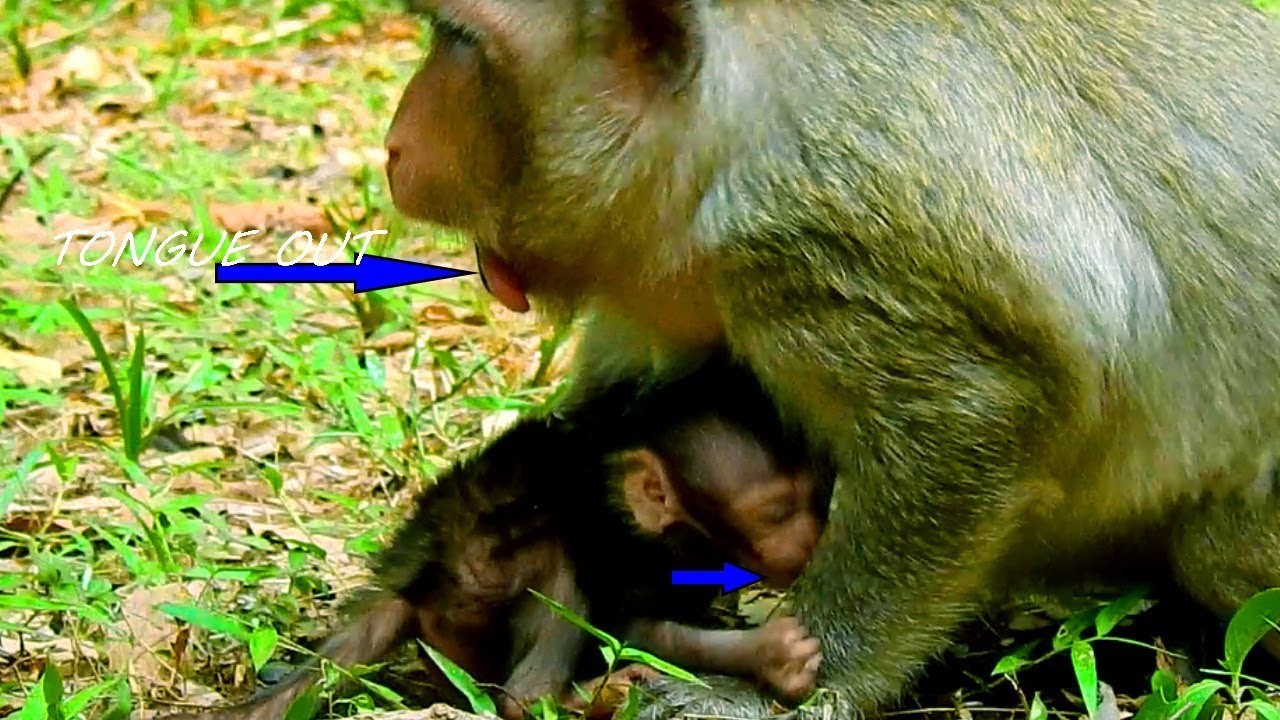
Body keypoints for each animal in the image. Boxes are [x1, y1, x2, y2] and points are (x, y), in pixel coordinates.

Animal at [167, 358, 825, 720]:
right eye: (773, 513)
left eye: (814, 497)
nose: (811, 540)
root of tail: (412, 577)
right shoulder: (630, 553)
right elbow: (638, 631)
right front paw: (770, 653)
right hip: (480, 570)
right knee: (557, 575)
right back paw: (571, 697)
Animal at [381, 1, 1280, 718]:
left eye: (459, 39)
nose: (393, 145)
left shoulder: (833, 225)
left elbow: (980, 409)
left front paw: (777, 686)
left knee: (1217, 546)